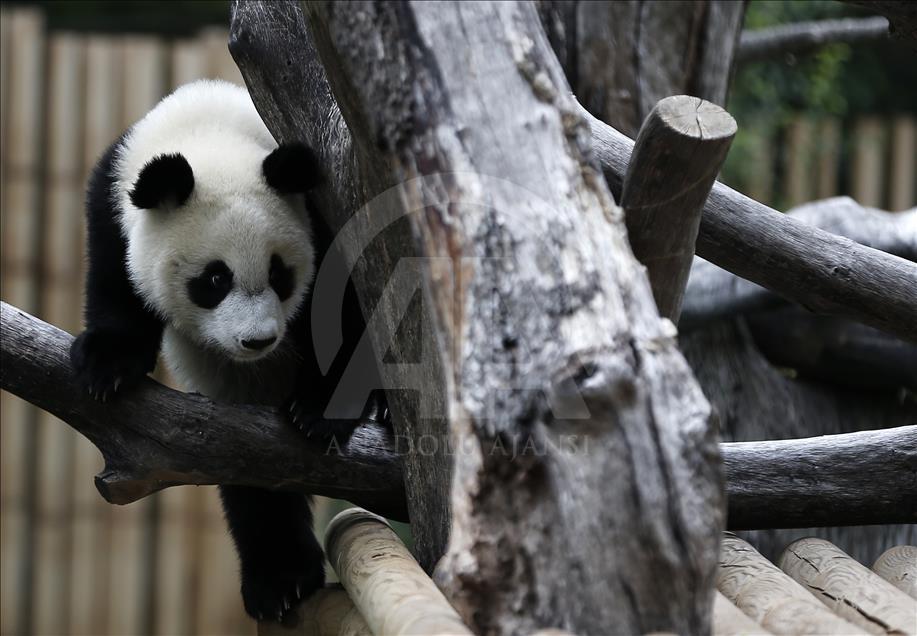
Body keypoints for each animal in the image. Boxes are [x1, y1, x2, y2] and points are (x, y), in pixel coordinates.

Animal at [70, 79, 387, 621]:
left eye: (280, 274)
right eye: (215, 280)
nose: (257, 340)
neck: (209, 130)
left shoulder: (319, 213)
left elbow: (343, 311)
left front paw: (320, 411)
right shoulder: (111, 201)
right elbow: (117, 282)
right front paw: (108, 366)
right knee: (245, 462)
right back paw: (281, 580)